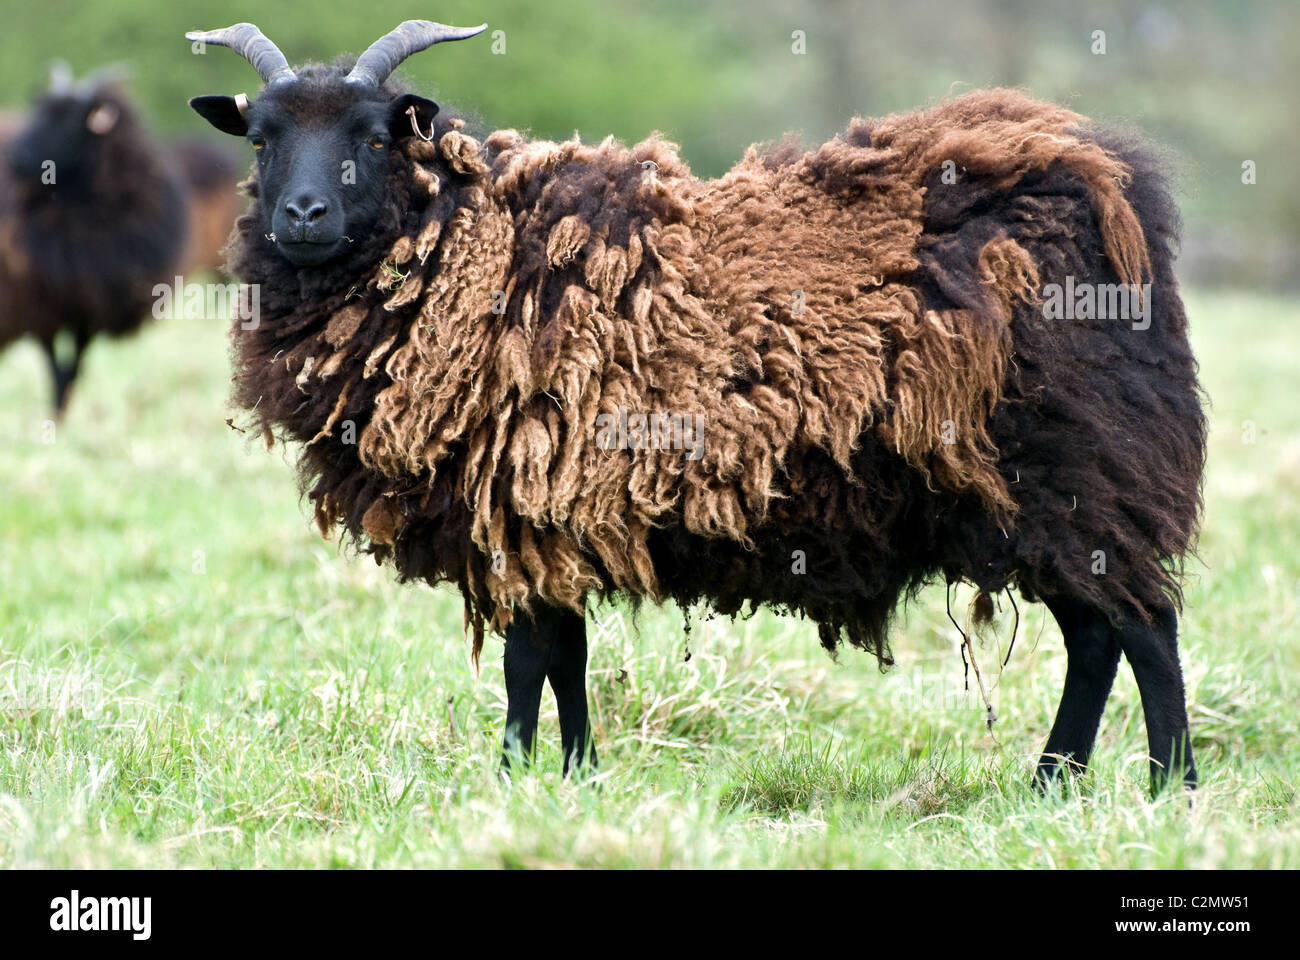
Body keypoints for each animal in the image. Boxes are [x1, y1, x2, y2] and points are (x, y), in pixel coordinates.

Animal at [0, 67, 188, 412]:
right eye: (37, 110)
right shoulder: (38, 306)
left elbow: (74, 369)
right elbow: (57, 370)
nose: (13, 156)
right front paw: (57, 417)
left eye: (67, 118)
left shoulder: (89, 309)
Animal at [187, 22, 1206, 792]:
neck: (464, 248)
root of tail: (1106, 183)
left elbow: (527, 664)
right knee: (1096, 637)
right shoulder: (549, 508)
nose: (304, 216)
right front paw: (576, 778)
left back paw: (1170, 789)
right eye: (261, 138)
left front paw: (514, 778)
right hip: (1041, 494)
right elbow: (565, 659)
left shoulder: (522, 497)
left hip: (1083, 469)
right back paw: (1053, 784)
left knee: (1144, 629)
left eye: (372, 137)